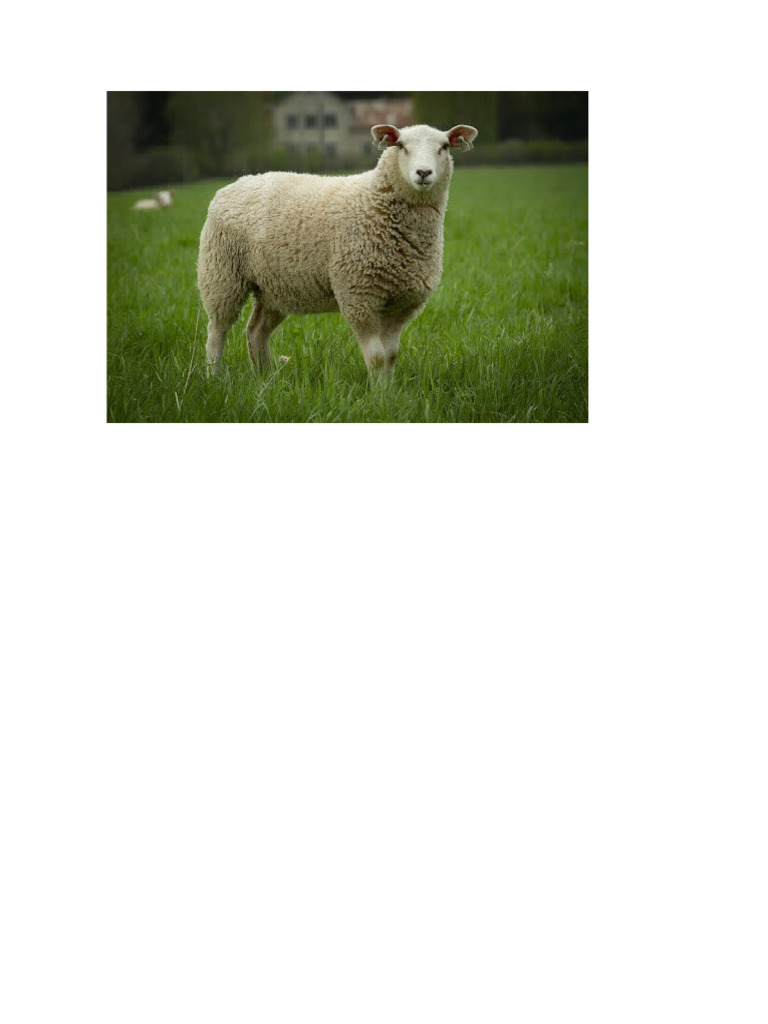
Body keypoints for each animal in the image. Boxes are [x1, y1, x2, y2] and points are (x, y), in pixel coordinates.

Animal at [197, 123, 478, 376]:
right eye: (400, 145)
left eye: (444, 147)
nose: (423, 173)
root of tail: (235, 183)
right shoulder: (359, 296)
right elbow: (377, 358)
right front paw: (379, 396)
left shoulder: (400, 304)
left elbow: (390, 356)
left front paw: (389, 392)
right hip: (222, 275)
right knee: (217, 330)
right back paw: (214, 376)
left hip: (274, 287)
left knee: (256, 332)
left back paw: (264, 377)